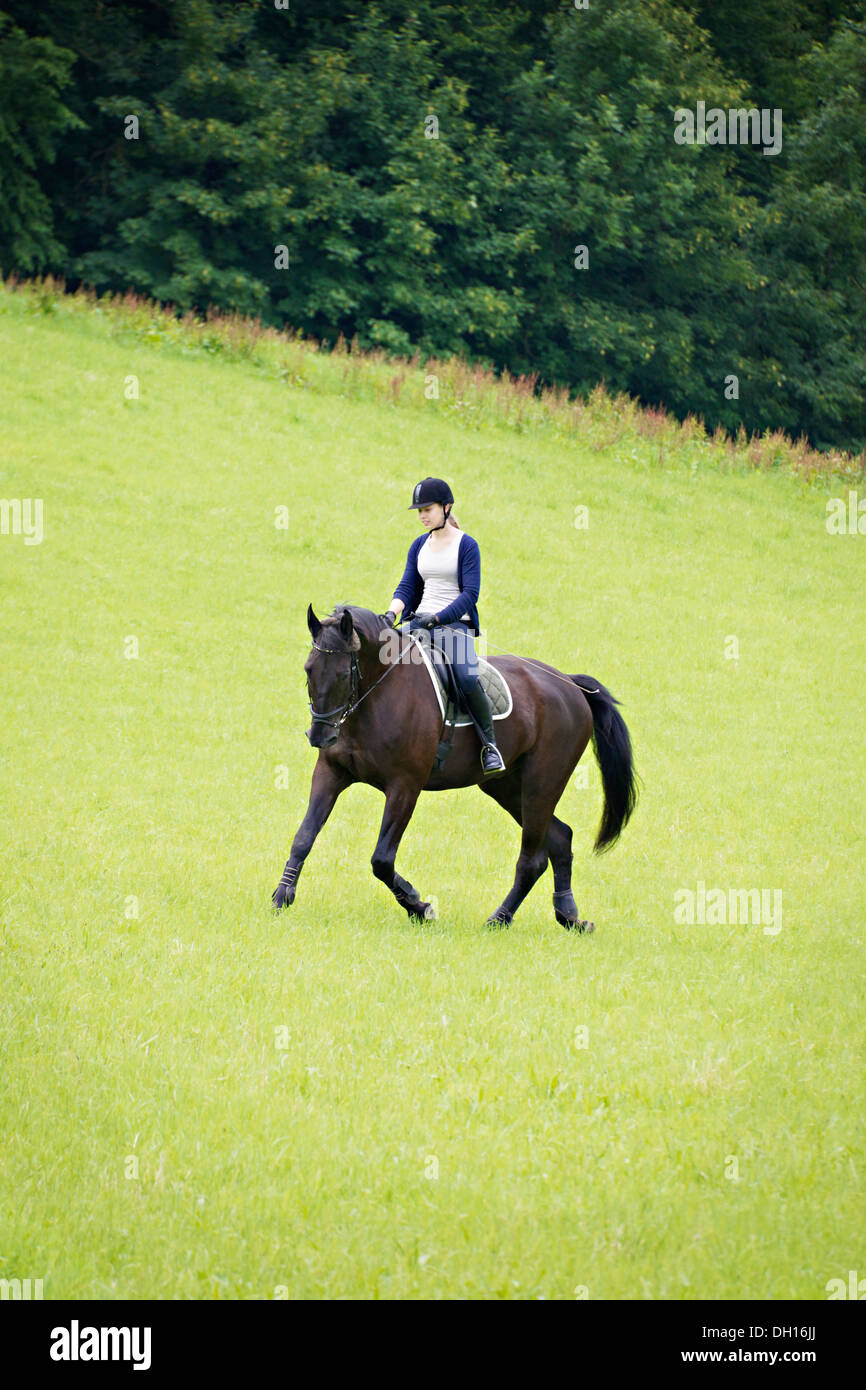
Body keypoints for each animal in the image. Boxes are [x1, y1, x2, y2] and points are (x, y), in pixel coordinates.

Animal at [272, 604, 637, 930]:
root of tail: (570, 684)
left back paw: (500, 918)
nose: (319, 735)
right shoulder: (331, 773)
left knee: (533, 858)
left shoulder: (405, 786)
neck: (375, 696)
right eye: (308, 669)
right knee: (560, 838)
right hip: (506, 786)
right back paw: (569, 916)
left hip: (542, 783)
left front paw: (420, 906)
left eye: (343, 673)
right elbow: (304, 836)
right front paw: (282, 896)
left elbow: (382, 860)